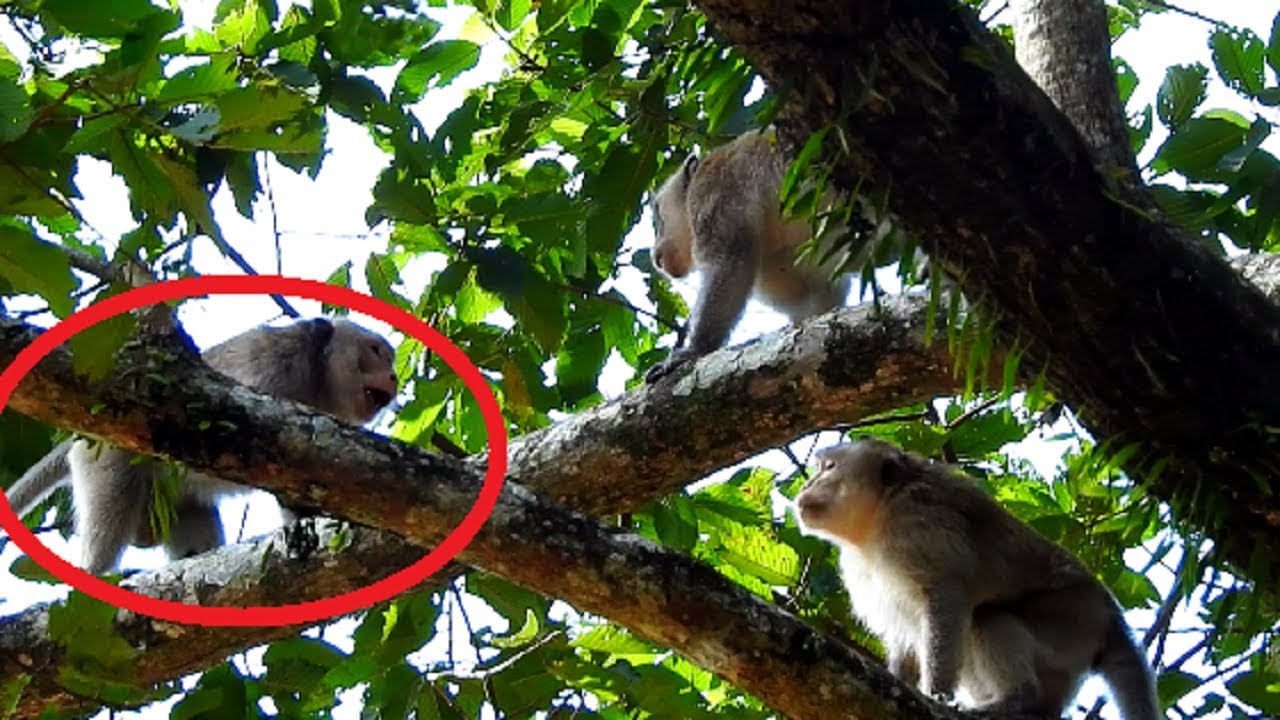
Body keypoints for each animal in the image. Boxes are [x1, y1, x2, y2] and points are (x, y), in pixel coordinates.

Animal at [3, 317, 398, 574]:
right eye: (375, 351)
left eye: (389, 358)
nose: (394, 375)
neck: (320, 379)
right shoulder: (280, 361)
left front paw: (304, 522)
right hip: (105, 454)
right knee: (113, 503)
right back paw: (94, 573)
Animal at [645, 129, 852, 382]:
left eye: (658, 218)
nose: (655, 254)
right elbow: (814, 292)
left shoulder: (712, 192)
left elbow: (730, 258)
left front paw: (697, 349)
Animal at [793, 439, 1159, 720]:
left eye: (828, 468)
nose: (806, 485)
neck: (880, 514)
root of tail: (1109, 613)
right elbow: (902, 631)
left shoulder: (917, 528)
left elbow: (947, 595)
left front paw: (936, 694)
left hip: (1071, 618)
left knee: (985, 617)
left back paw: (1016, 700)